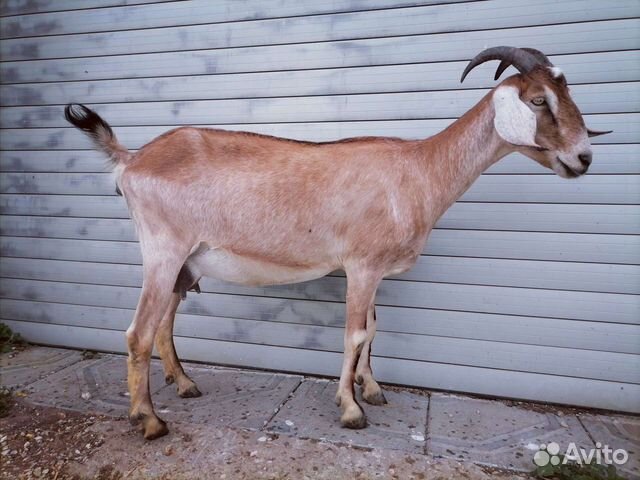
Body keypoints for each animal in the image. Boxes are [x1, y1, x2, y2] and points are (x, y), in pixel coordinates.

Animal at [65, 46, 610, 440]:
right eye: (539, 100)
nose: (583, 158)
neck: (419, 169)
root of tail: (130, 159)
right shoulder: (361, 265)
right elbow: (353, 334)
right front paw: (350, 410)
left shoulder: (375, 271)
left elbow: (373, 329)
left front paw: (373, 390)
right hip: (164, 249)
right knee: (138, 332)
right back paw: (149, 420)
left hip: (186, 262)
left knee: (163, 324)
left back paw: (185, 385)